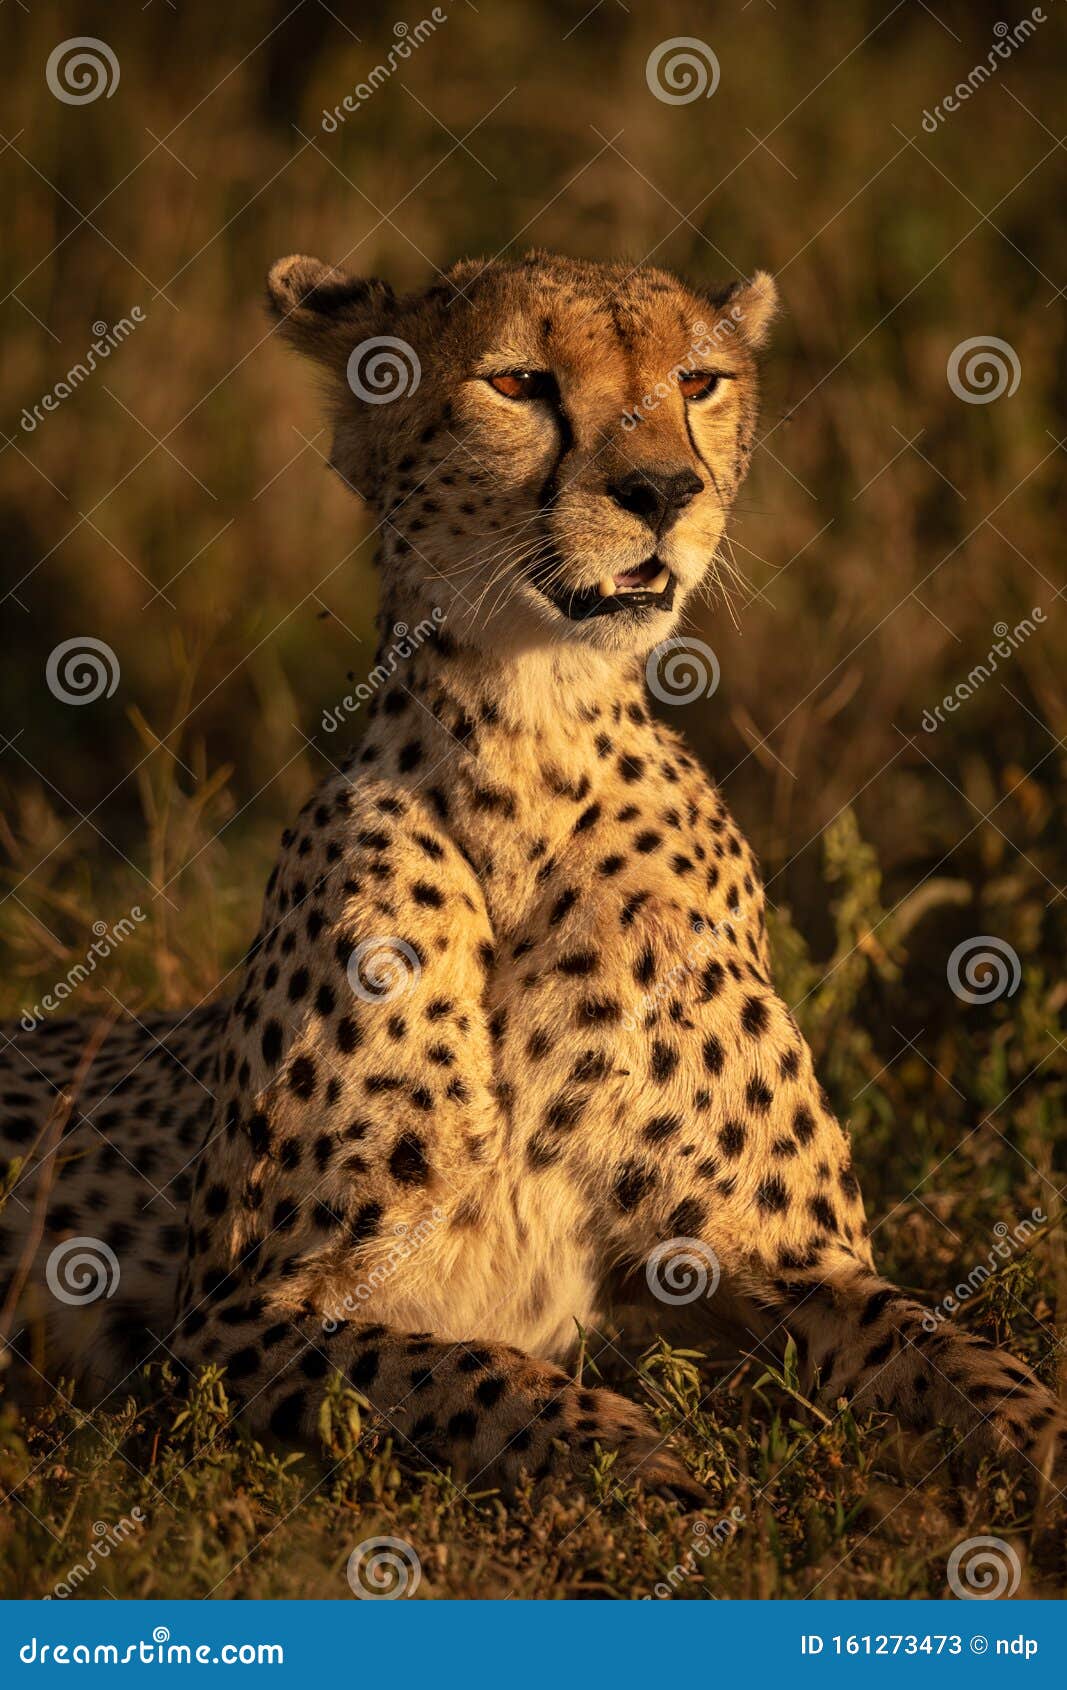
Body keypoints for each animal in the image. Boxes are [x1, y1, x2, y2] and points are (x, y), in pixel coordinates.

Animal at [2, 249, 1064, 1511]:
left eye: (697, 380)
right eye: (518, 382)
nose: (661, 490)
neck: (532, 741)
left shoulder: (791, 1258)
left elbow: (959, 1352)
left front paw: (1039, 1435)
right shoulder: (236, 1310)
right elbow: (463, 1372)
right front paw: (633, 1456)